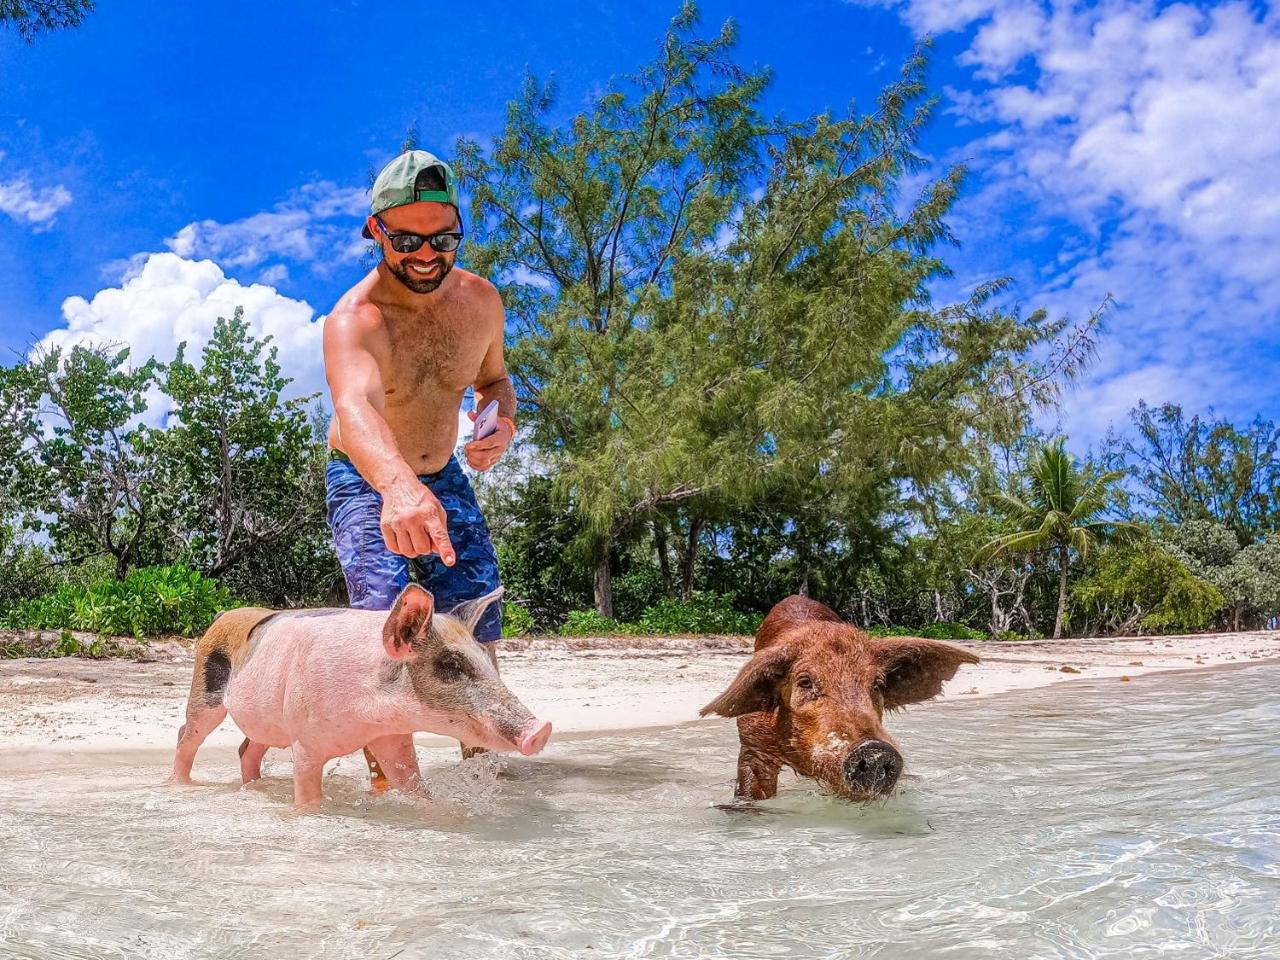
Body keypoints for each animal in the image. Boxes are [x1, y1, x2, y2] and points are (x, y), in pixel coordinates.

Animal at [169, 584, 552, 808]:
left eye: (484, 658)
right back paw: (179, 785)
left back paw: (255, 789)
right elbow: (307, 793)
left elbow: (410, 780)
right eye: (450, 664)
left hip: (267, 718)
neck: (369, 715)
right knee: (187, 734)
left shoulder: (392, 736)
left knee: (247, 748)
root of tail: (223, 615)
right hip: (206, 686)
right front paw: (307, 814)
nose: (542, 729)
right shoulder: (305, 739)